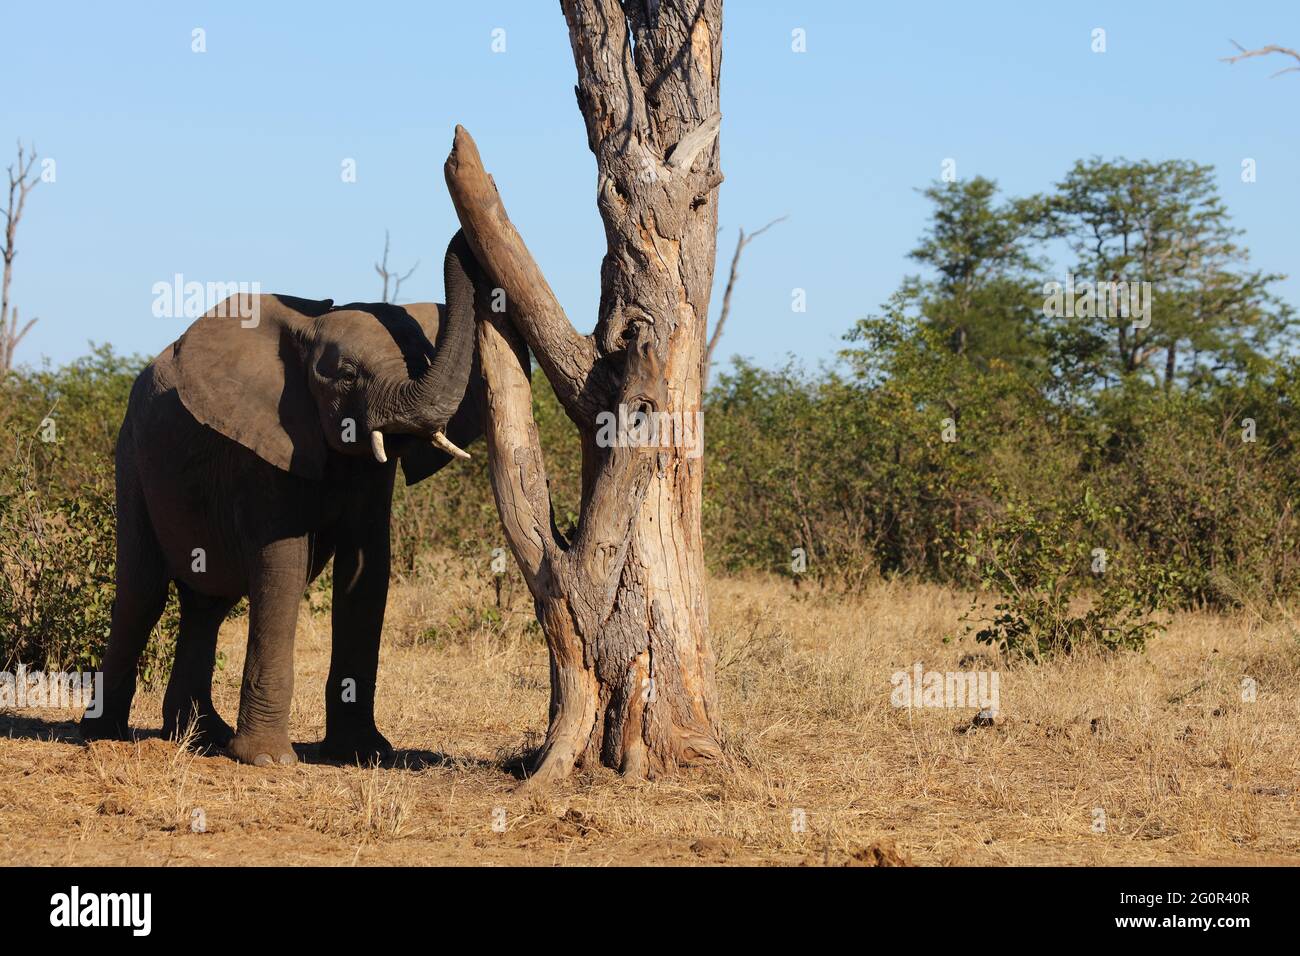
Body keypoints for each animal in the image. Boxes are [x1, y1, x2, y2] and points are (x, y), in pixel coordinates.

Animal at [80, 231, 487, 766]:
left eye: (420, 360)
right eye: (346, 373)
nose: (464, 235)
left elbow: (368, 568)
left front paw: (364, 753)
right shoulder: (264, 442)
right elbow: (283, 563)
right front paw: (268, 761)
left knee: (207, 604)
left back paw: (200, 736)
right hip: (132, 459)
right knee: (142, 591)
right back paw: (103, 735)